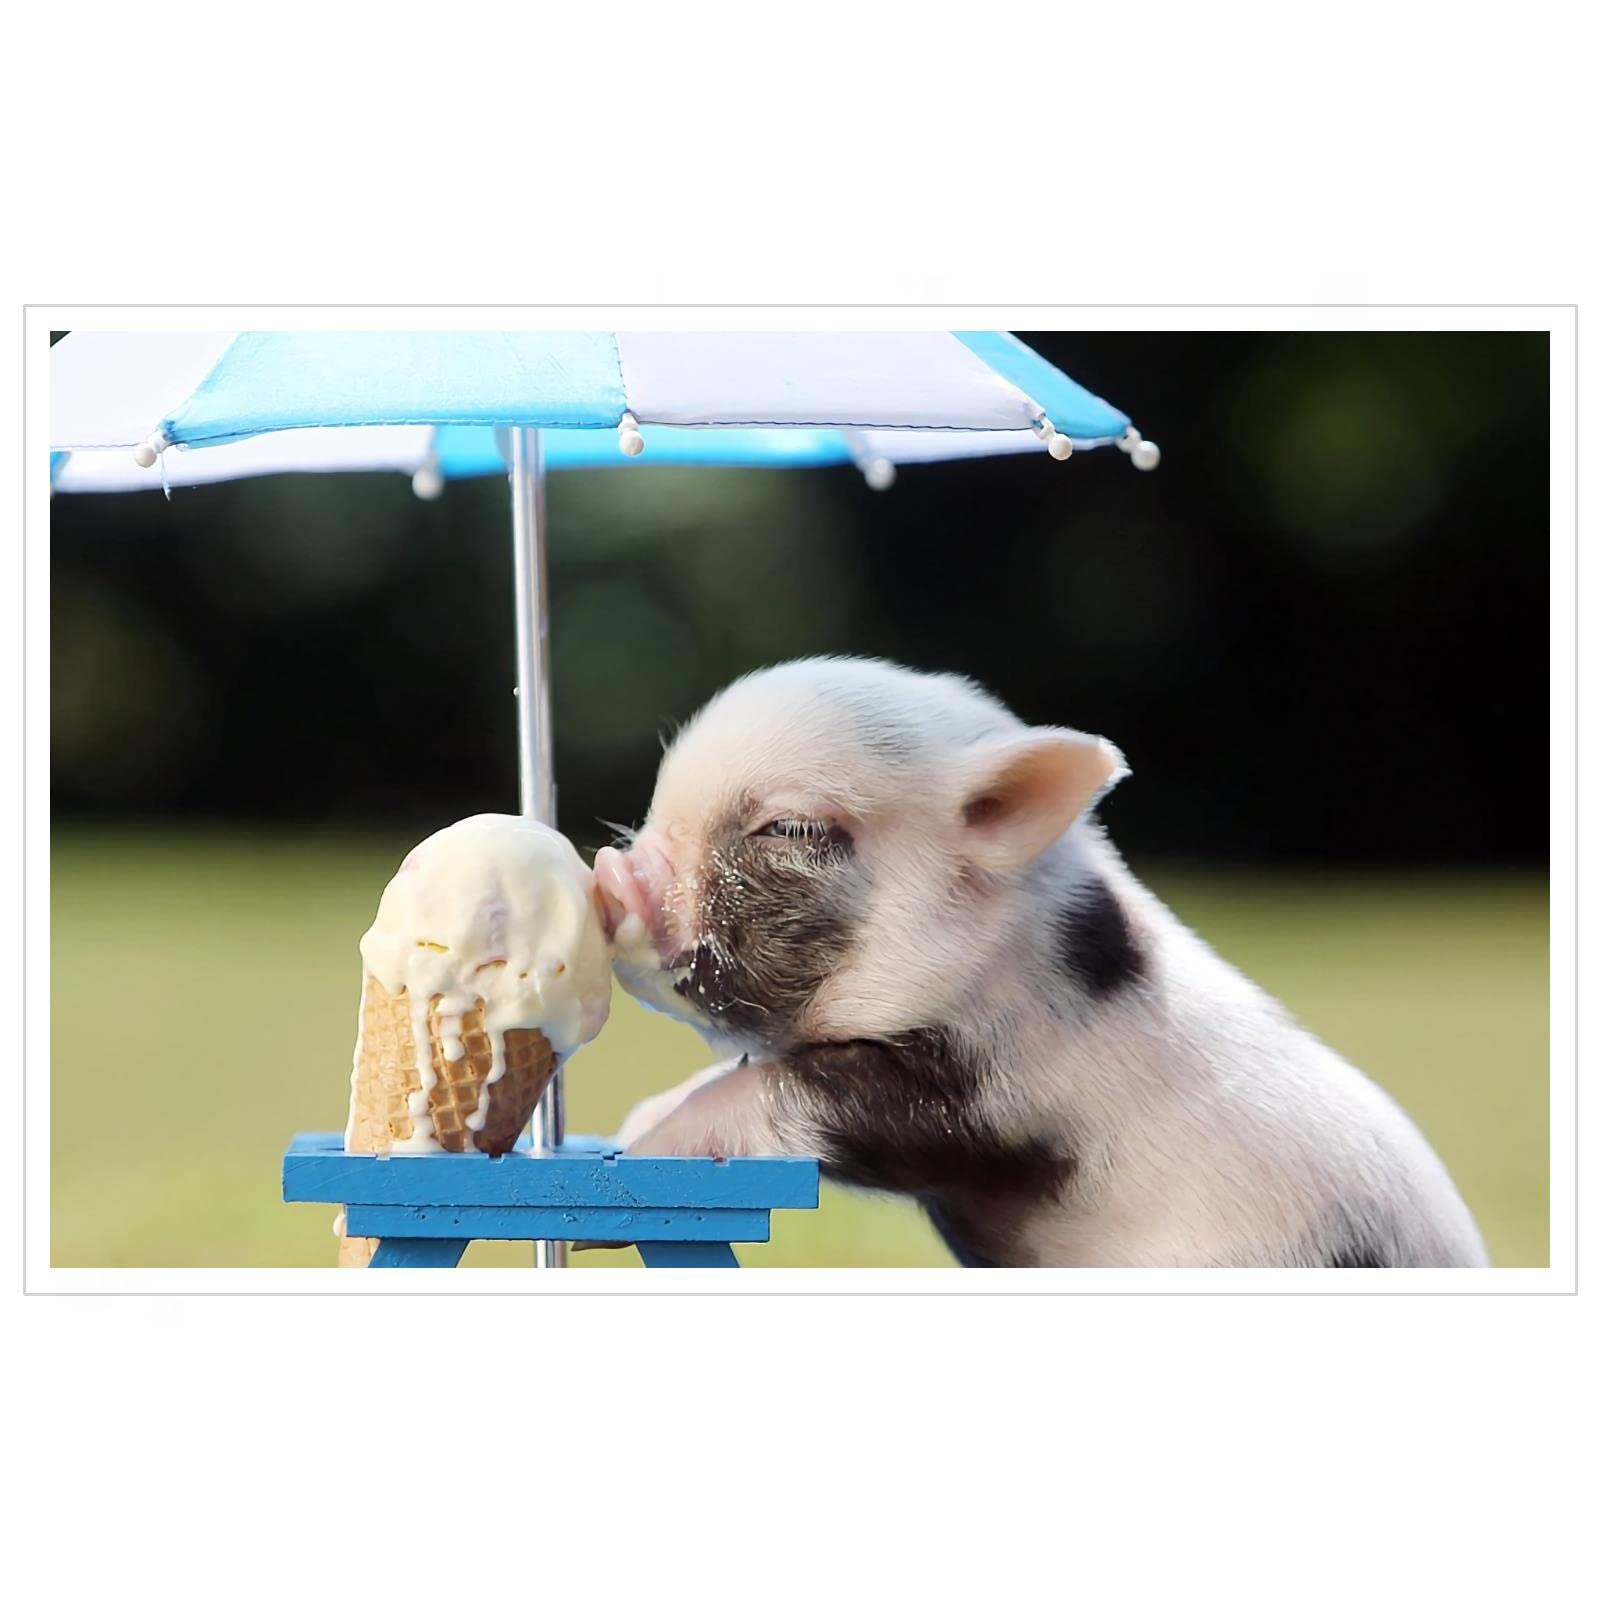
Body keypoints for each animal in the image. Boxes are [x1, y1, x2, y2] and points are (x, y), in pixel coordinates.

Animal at [592, 657, 1488, 1268]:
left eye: (791, 829)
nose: (612, 872)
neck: (1010, 956)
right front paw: (636, 1121)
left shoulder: (993, 1094)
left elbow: (794, 1091)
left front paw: (640, 1142)